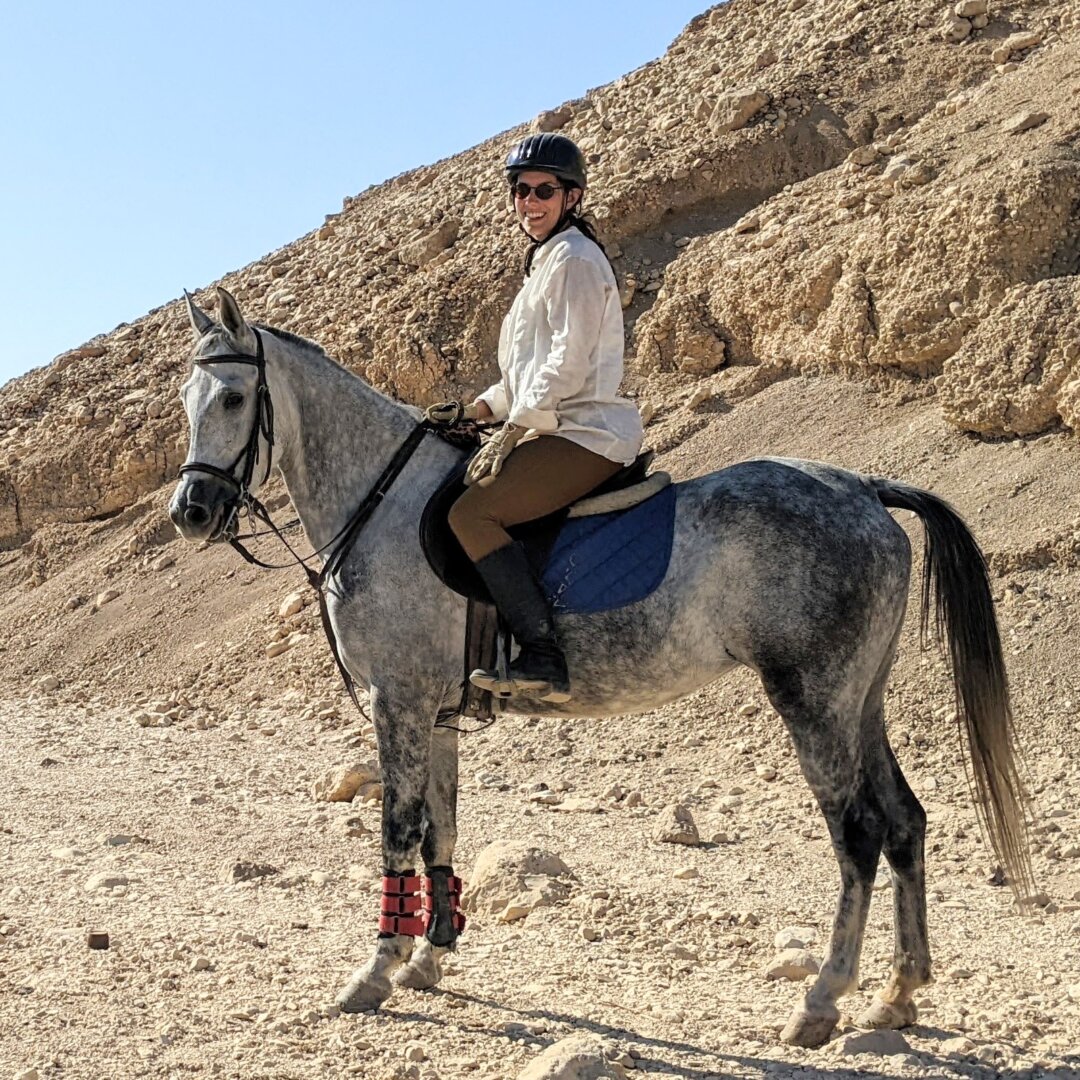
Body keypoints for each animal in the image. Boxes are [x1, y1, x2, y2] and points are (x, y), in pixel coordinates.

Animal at [168, 287, 1031, 1048]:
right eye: (186, 398)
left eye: (235, 399)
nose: (192, 512)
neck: (381, 504)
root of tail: (864, 488)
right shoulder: (436, 714)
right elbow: (443, 827)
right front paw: (430, 958)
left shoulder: (399, 703)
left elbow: (398, 830)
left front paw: (376, 972)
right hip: (861, 699)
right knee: (905, 822)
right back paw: (898, 993)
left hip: (812, 699)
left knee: (857, 834)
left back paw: (822, 1001)